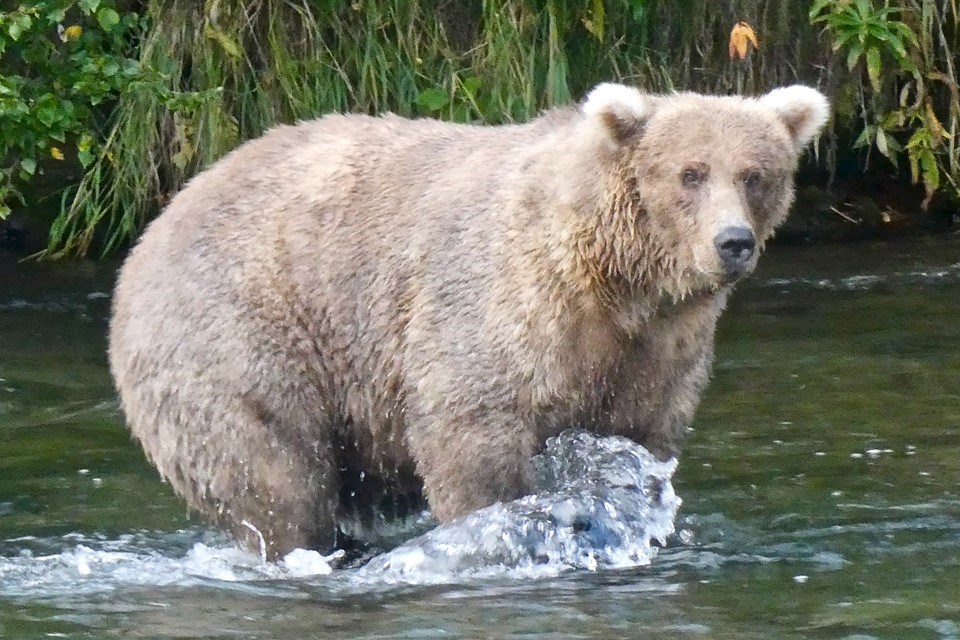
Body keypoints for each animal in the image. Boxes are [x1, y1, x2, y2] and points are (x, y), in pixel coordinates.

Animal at [109, 83, 829, 559]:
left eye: (756, 174)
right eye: (690, 173)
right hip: (243, 333)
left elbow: (638, 448)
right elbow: (473, 431)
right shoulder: (504, 304)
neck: (615, 282)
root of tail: (149, 234)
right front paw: (501, 526)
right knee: (274, 479)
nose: (732, 241)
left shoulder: (654, 351)